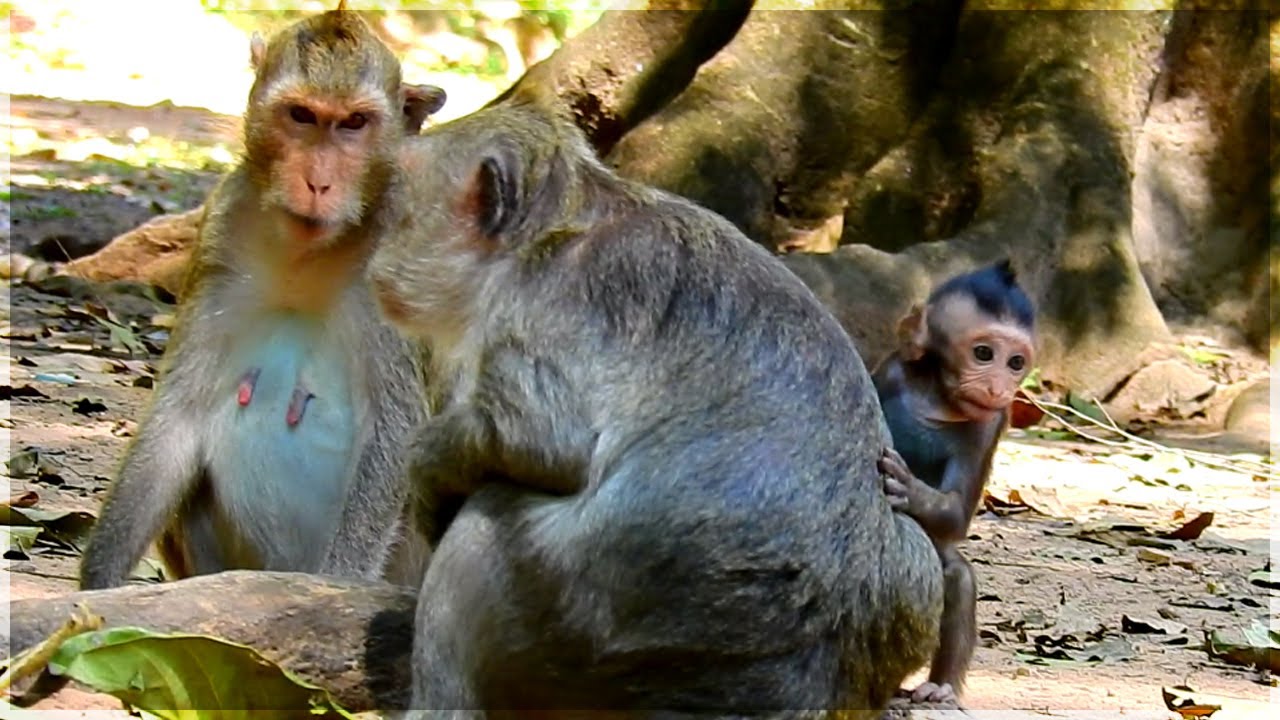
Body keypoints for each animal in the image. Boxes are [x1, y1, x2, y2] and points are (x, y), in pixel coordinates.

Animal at [78, 5, 447, 591]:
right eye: (301, 115)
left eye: (354, 123)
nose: (317, 182)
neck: (308, 255)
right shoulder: (222, 235)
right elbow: (179, 414)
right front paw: (99, 587)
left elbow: (397, 430)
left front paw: (333, 586)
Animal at [366, 96, 945, 719]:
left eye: (399, 194)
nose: (375, 256)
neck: (564, 221)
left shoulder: (545, 298)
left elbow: (540, 440)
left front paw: (427, 468)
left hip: (584, 623)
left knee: (485, 524)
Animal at [872, 260, 1036, 705]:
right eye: (984, 353)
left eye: (1016, 362)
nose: (999, 387)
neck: (936, 396)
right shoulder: (892, 371)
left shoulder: (989, 422)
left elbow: (958, 513)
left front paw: (911, 490)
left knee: (957, 577)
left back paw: (939, 686)